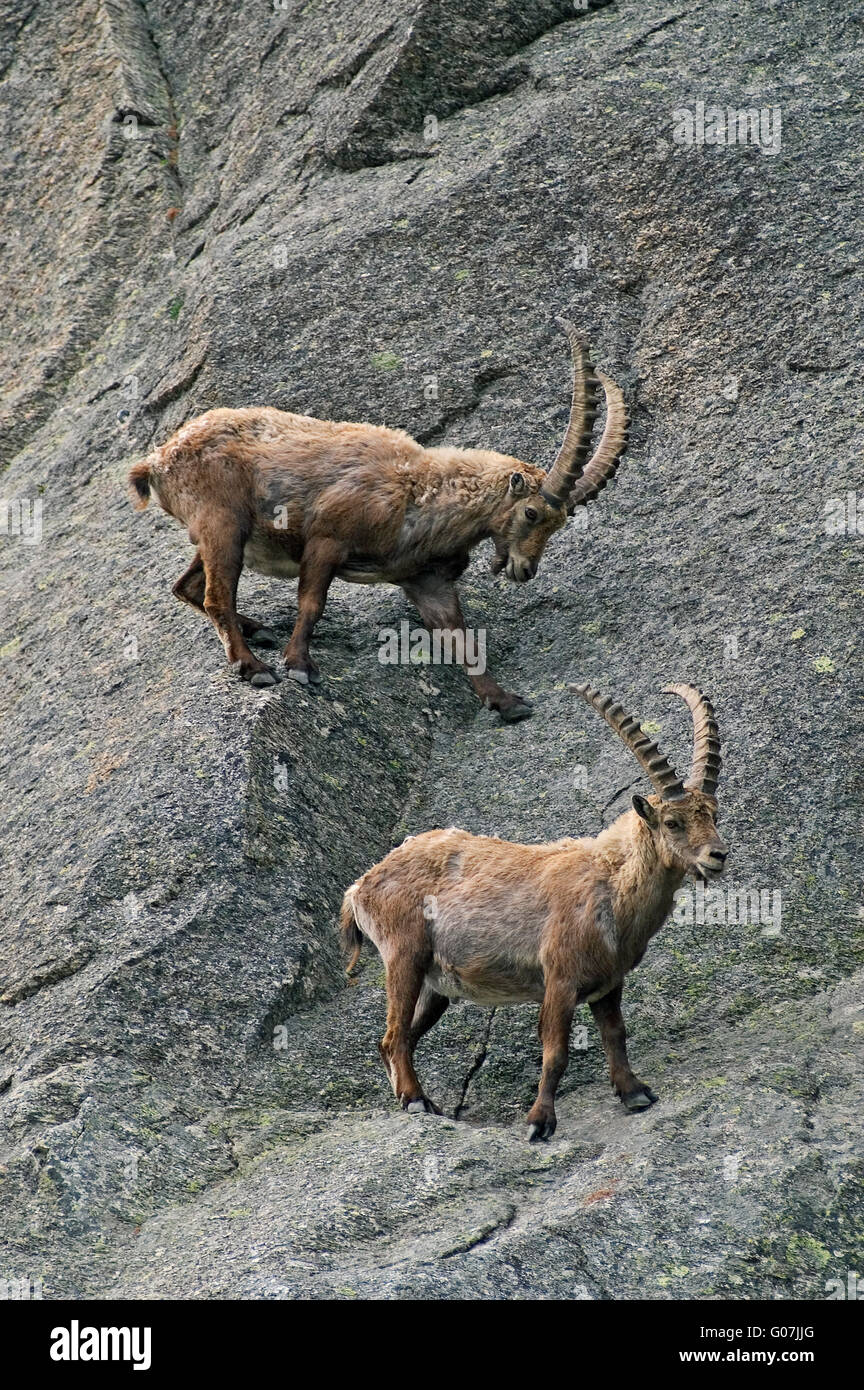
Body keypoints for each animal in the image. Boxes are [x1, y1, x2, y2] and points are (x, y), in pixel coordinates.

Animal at [128, 322, 628, 721]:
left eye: (558, 524)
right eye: (531, 512)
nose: (525, 570)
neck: (421, 492)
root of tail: (157, 461)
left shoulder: (426, 580)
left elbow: (462, 640)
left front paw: (505, 702)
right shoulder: (327, 539)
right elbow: (311, 603)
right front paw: (299, 667)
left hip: (220, 537)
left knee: (188, 586)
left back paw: (259, 631)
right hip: (223, 523)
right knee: (214, 596)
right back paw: (254, 668)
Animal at [340, 682, 727, 1139]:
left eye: (714, 815)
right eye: (672, 822)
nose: (717, 856)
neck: (611, 884)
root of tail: (362, 884)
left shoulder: (607, 982)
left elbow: (616, 1034)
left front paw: (634, 1093)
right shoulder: (559, 978)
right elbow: (555, 1051)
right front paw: (539, 1122)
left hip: (437, 984)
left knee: (402, 1037)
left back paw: (418, 1100)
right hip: (404, 954)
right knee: (394, 1034)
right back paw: (416, 1100)